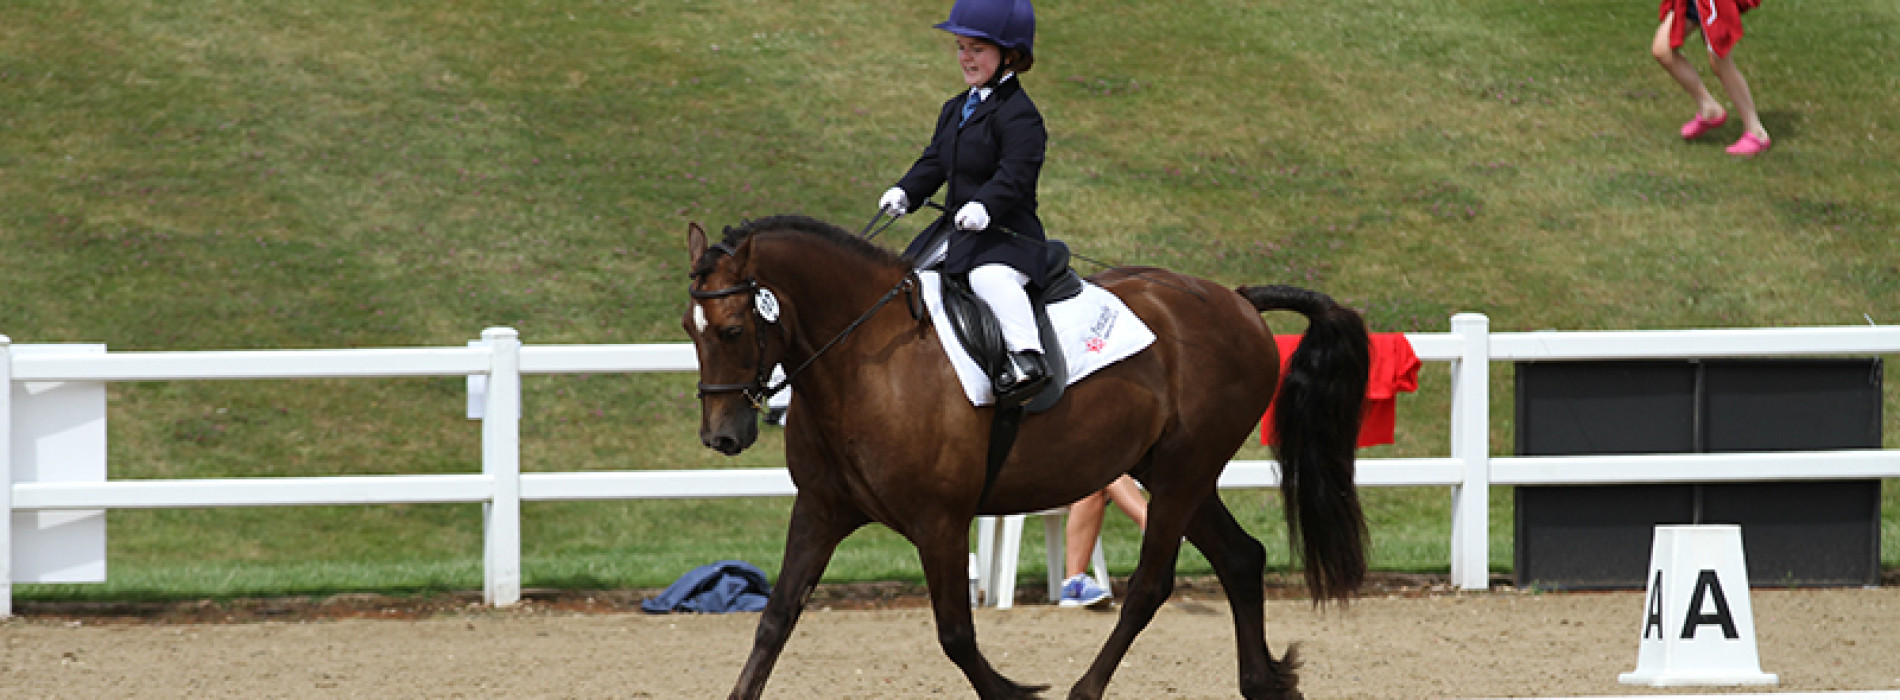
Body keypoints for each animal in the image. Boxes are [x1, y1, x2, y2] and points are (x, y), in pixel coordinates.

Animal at [683, 215, 1370, 700]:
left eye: (735, 330)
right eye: (691, 329)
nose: (722, 437)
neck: (863, 360)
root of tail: (1238, 299)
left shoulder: (939, 522)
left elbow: (956, 636)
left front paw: (1016, 692)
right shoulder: (820, 510)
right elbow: (776, 618)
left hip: (1183, 473)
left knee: (1151, 586)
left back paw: (1086, 690)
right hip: (1175, 474)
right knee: (1240, 559)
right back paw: (1264, 683)